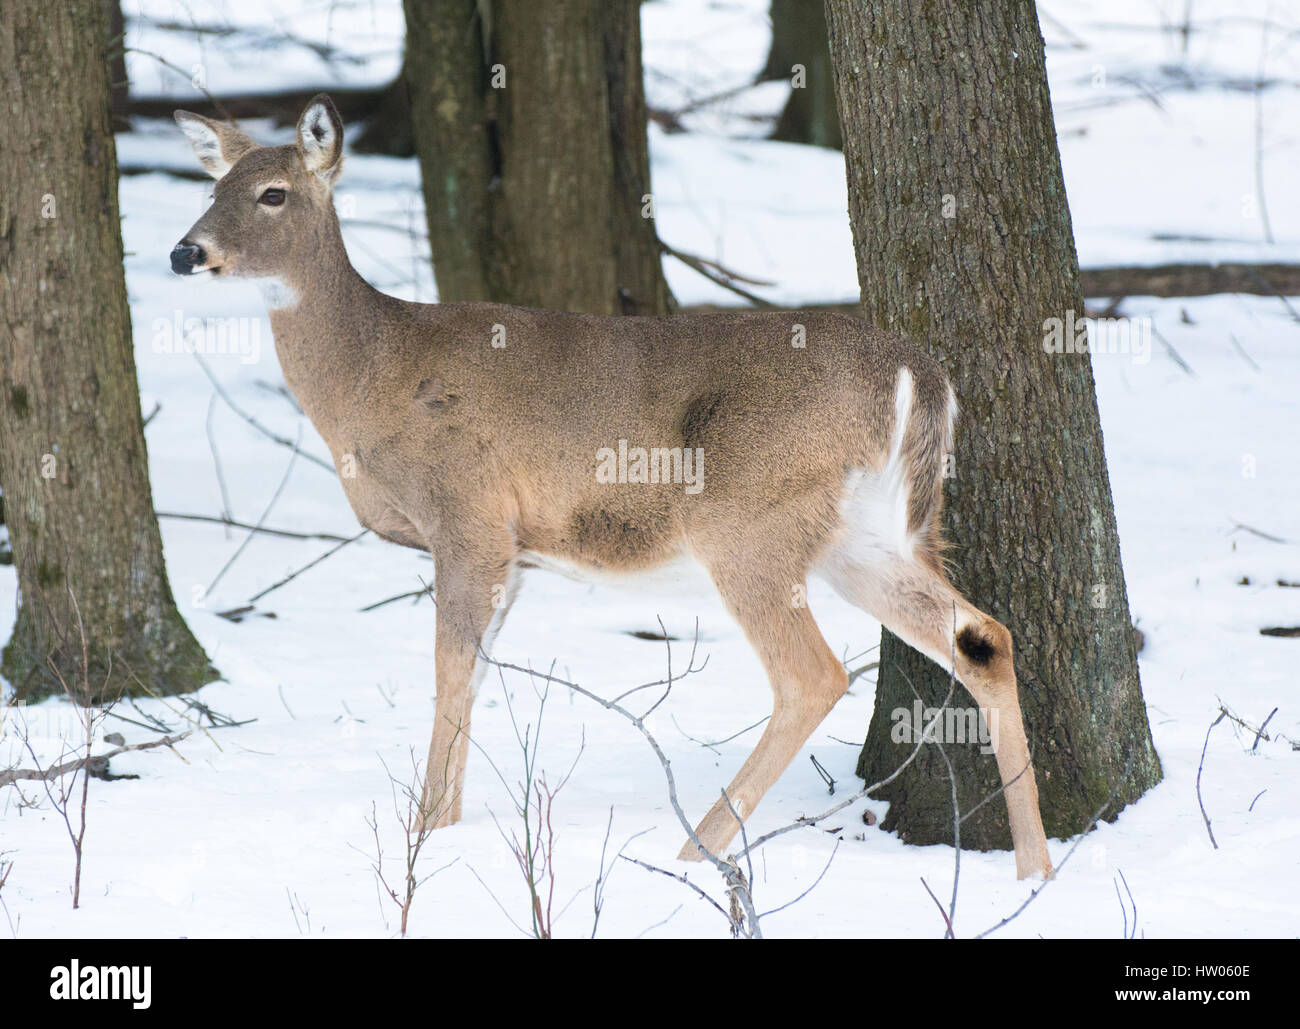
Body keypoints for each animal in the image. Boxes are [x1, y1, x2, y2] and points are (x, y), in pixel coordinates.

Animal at [170, 94, 1054, 880]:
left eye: (273, 193)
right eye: (211, 188)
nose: (184, 253)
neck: (374, 376)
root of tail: (919, 374)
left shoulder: (469, 512)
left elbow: (449, 670)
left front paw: (423, 842)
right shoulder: (516, 549)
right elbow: (477, 672)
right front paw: (442, 830)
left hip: (749, 518)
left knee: (814, 674)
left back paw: (690, 855)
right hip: (864, 533)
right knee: (981, 636)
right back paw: (1034, 871)